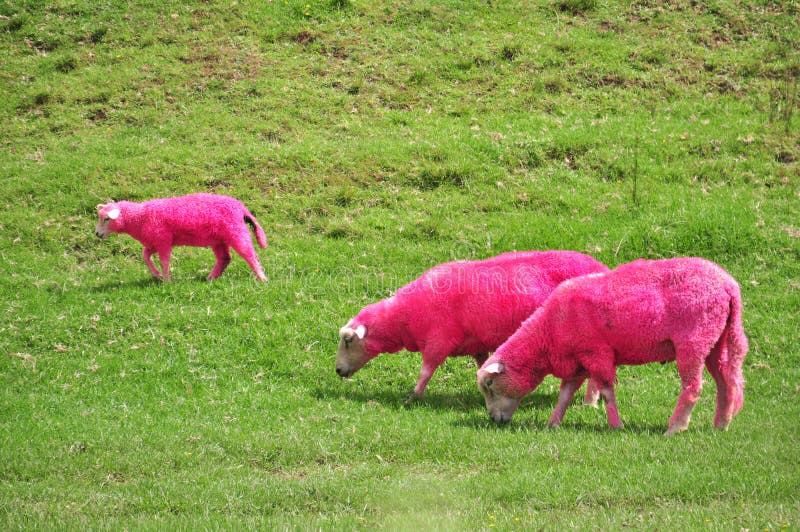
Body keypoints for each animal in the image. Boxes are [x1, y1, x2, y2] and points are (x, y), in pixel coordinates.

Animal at [96, 193, 268, 282]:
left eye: (106, 219)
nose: (97, 234)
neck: (139, 217)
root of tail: (240, 207)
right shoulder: (154, 243)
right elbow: (145, 256)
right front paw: (157, 275)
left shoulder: (163, 240)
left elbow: (164, 261)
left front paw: (167, 280)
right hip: (218, 239)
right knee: (225, 258)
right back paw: (210, 278)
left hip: (236, 231)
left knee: (249, 253)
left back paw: (261, 277)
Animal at [336, 250, 609, 397]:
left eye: (348, 340)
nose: (338, 371)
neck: (405, 315)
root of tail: (601, 266)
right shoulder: (477, 344)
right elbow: (482, 364)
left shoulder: (439, 340)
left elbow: (426, 371)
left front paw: (413, 396)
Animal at [477, 257, 748, 435]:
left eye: (489, 384)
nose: (492, 419)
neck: (549, 331)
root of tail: (729, 286)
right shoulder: (579, 358)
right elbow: (566, 394)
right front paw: (552, 424)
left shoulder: (596, 353)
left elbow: (606, 391)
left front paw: (616, 426)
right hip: (715, 340)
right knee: (726, 382)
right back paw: (721, 425)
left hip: (694, 340)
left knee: (693, 388)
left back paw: (675, 428)